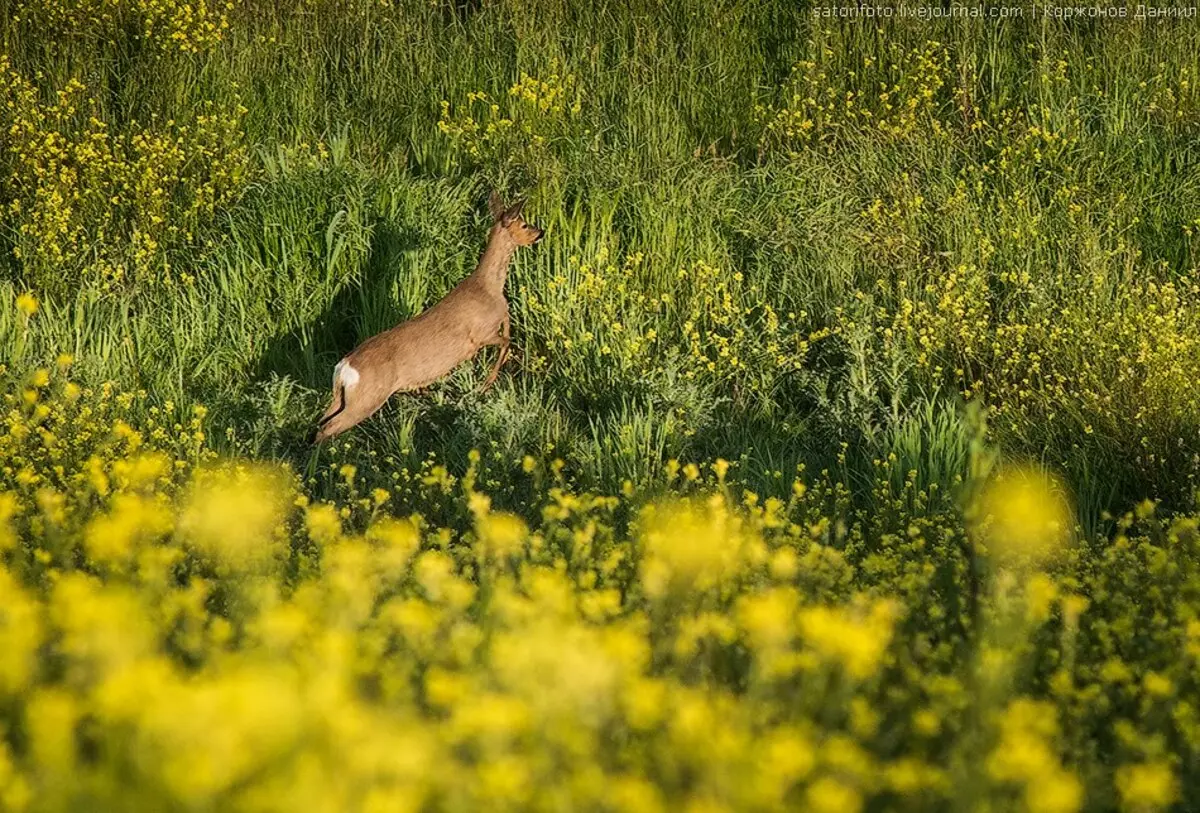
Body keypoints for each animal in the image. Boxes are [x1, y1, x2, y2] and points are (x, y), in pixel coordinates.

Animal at [316, 189, 547, 446]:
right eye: (525, 224)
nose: (541, 232)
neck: (489, 288)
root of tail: (343, 368)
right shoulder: (479, 335)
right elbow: (507, 341)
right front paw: (486, 384)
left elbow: (508, 333)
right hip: (368, 398)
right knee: (327, 427)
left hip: (342, 397)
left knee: (321, 420)